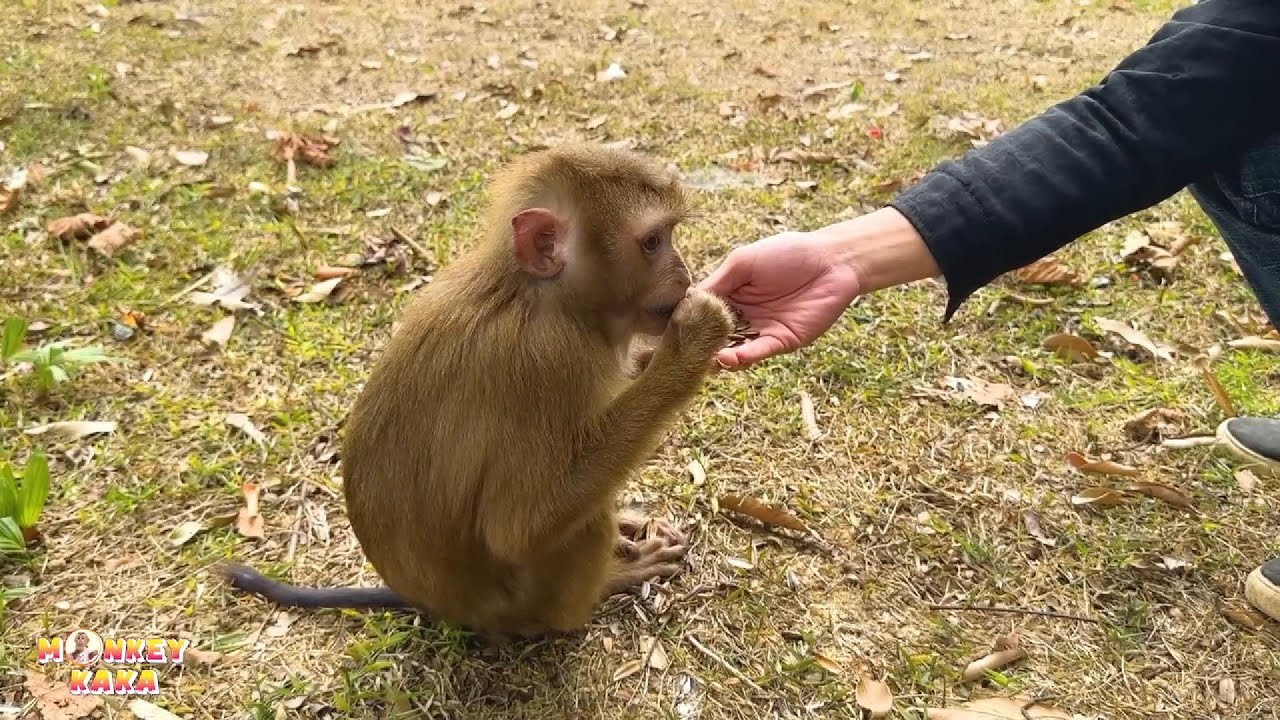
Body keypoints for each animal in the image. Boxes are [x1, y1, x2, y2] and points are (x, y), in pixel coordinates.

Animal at [219, 142, 734, 637]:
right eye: (652, 242)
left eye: (667, 237)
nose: (685, 274)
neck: (540, 294)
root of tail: (452, 611)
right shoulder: (547, 360)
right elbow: (519, 526)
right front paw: (692, 343)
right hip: (525, 606)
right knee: (571, 529)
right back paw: (606, 582)